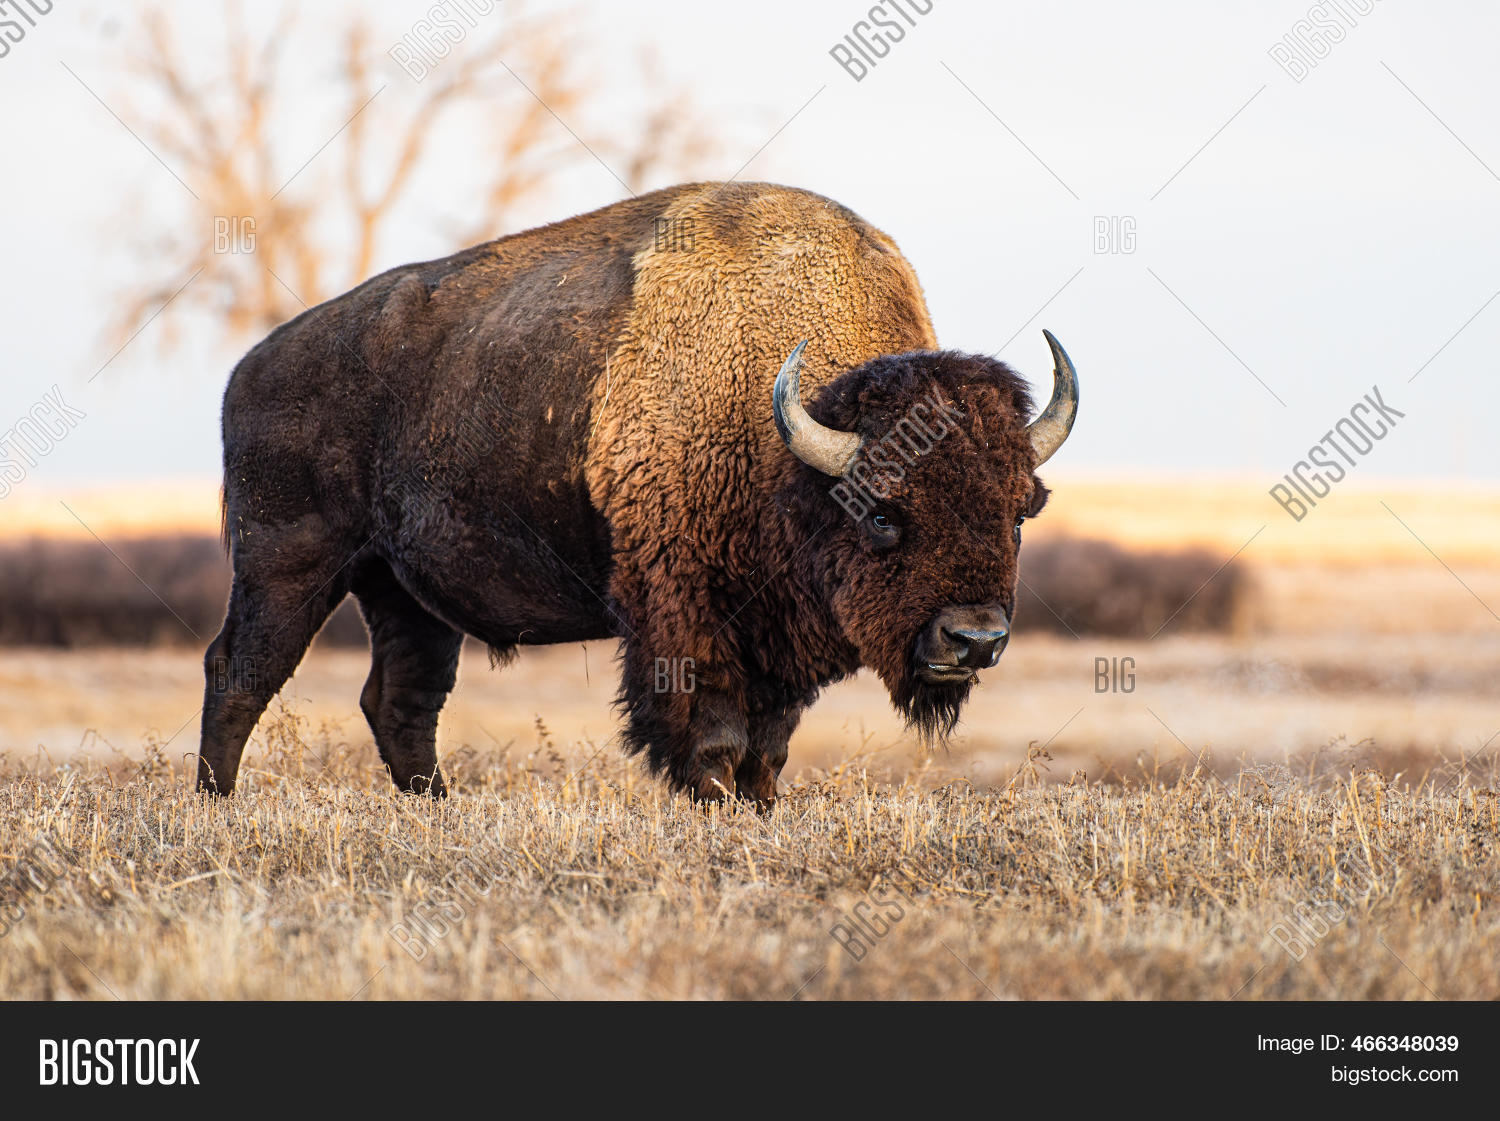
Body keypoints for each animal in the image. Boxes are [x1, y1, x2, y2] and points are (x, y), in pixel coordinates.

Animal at [197, 181, 1077, 805]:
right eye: (885, 513)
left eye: (1018, 512)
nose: (973, 640)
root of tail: (250, 367)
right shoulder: (685, 609)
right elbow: (714, 727)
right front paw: (714, 799)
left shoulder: (778, 633)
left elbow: (771, 738)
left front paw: (759, 804)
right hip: (288, 563)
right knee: (240, 669)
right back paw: (218, 802)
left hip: (405, 593)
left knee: (400, 700)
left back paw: (435, 806)